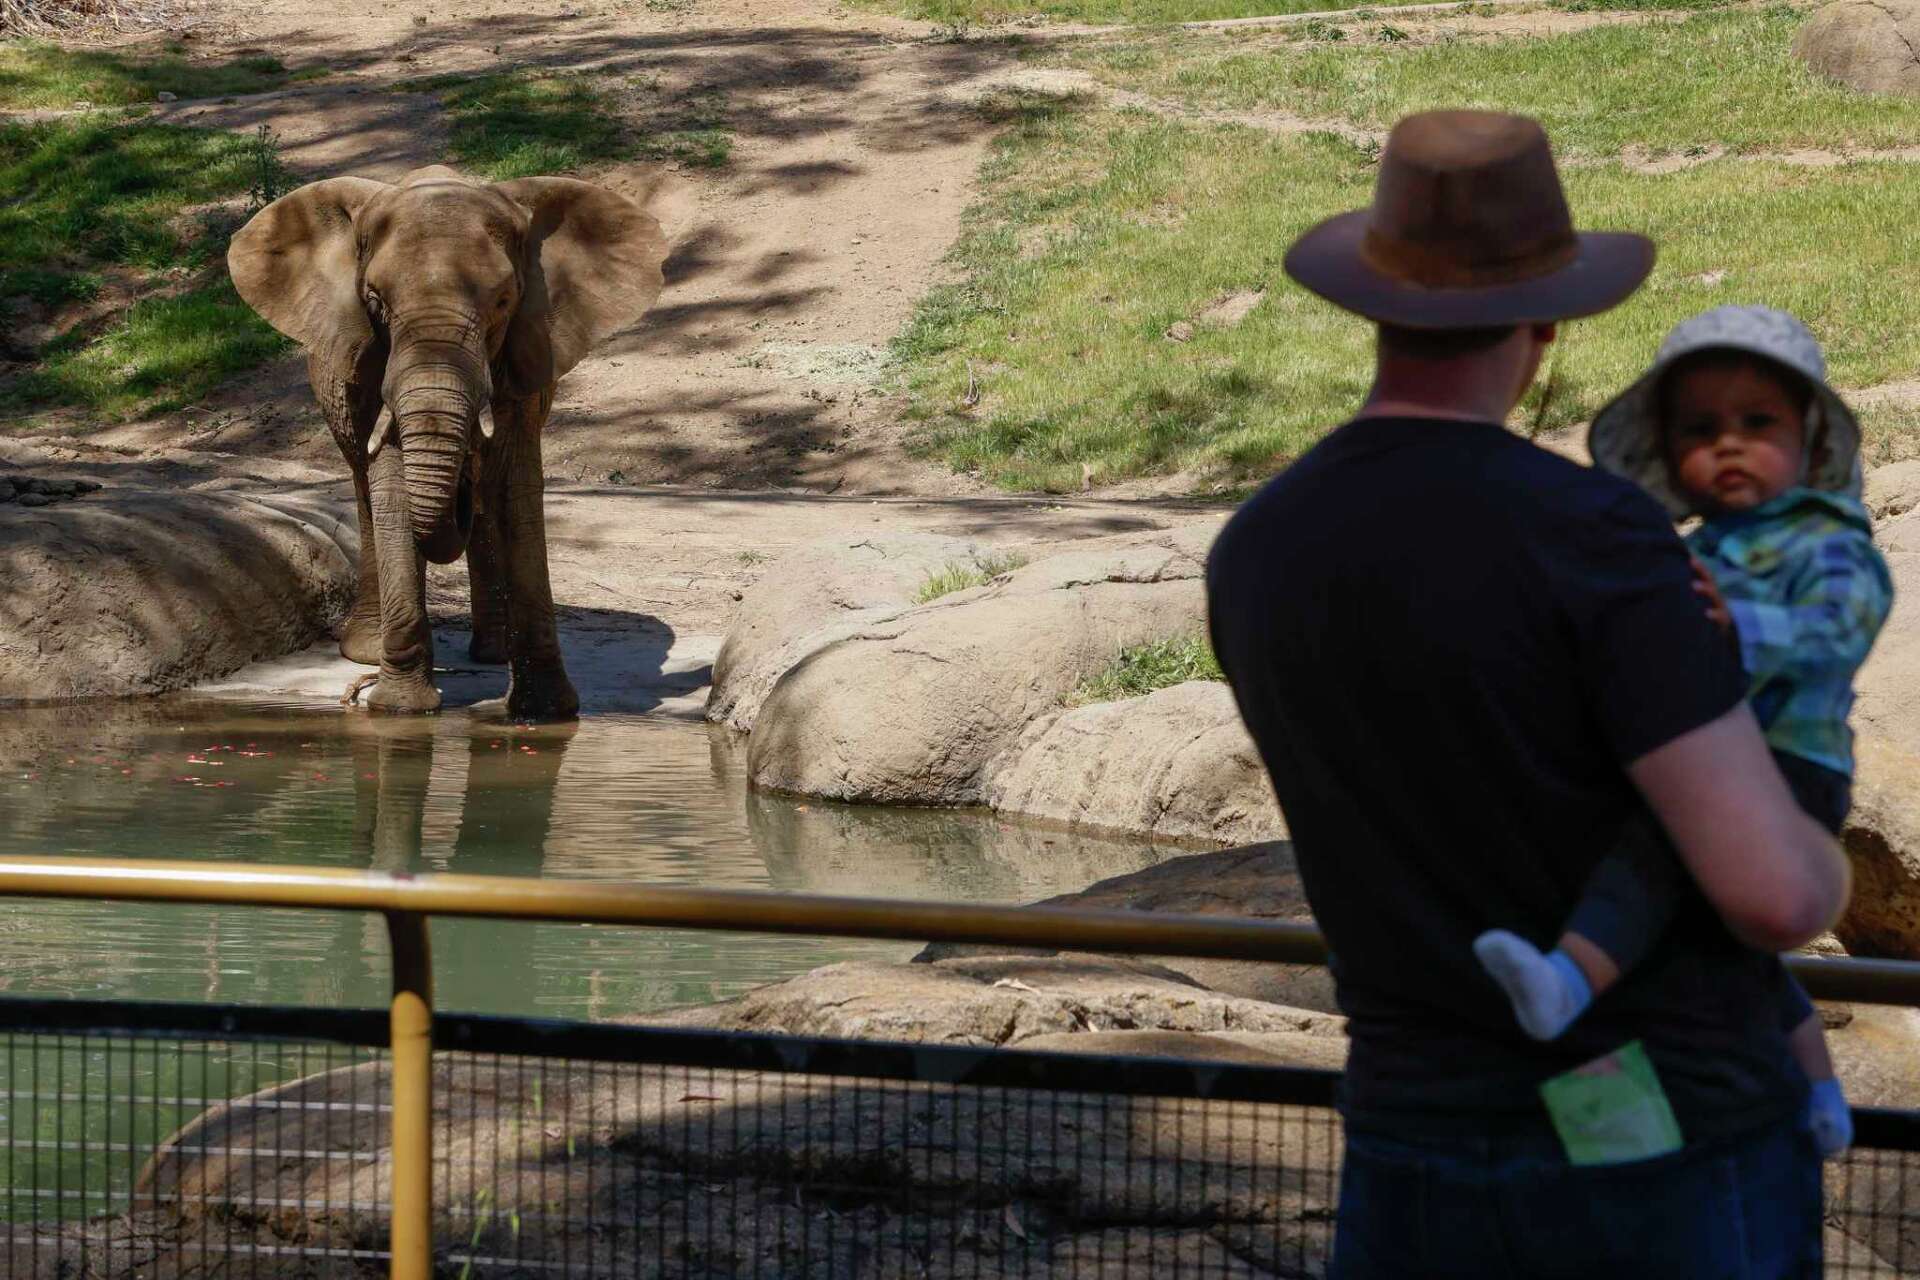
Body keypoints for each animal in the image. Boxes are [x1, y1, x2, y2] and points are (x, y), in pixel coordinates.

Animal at [228, 165, 668, 719]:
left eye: (502, 302)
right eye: (375, 302)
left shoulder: (527, 348)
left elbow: (516, 486)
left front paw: (545, 714)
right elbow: (392, 483)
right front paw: (400, 711)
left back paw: (492, 651)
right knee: (363, 483)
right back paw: (369, 649)